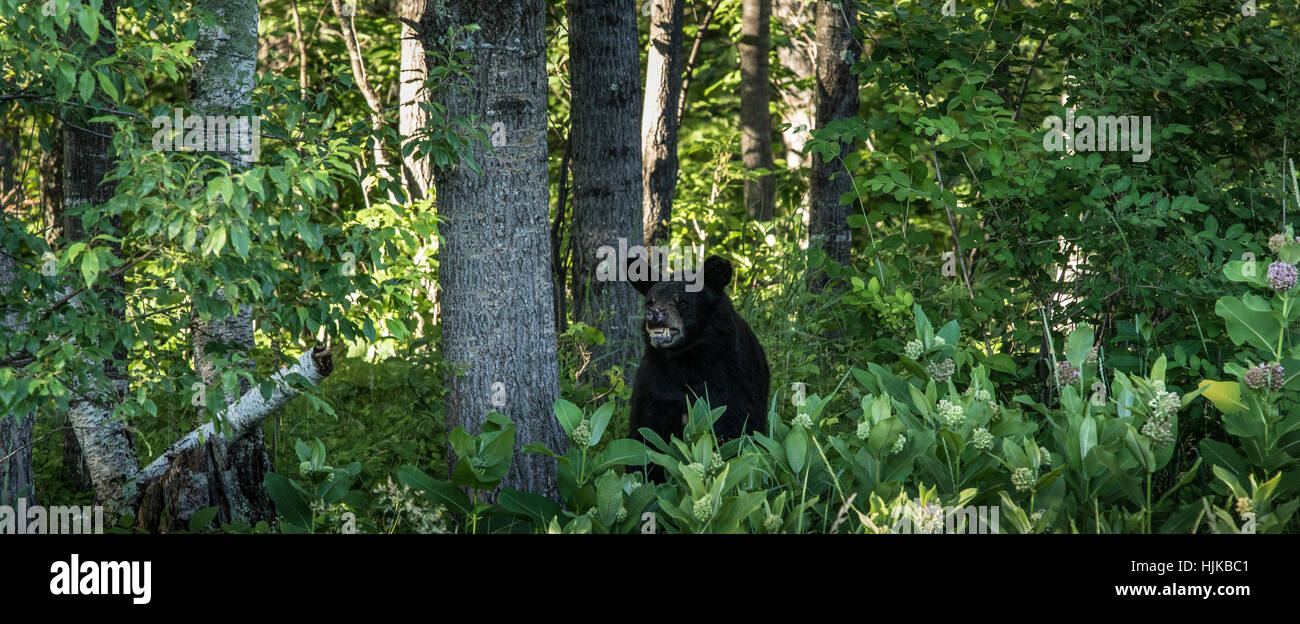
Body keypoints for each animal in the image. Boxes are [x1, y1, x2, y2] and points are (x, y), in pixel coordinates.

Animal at [625, 253, 770, 470]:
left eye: (683, 302)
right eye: (649, 302)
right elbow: (647, 431)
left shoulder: (731, 380)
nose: (655, 315)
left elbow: (733, 427)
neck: (686, 361)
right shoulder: (655, 384)